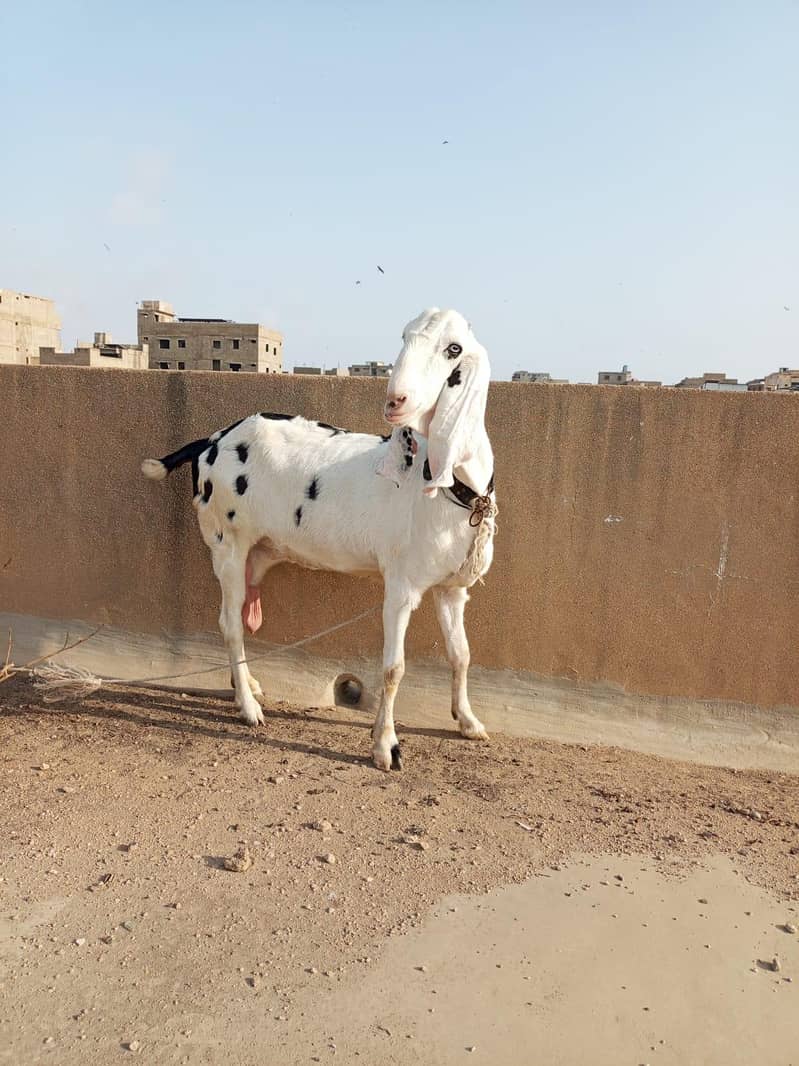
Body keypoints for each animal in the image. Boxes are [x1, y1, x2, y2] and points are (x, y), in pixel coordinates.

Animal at [141, 308, 496, 770]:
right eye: (403, 338)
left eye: (454, 348)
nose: (395, 402)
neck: (454, 488)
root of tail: (211, 441)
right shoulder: (401, 587)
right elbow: (393, 668)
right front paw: (386, 746)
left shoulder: (451, 590)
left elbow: (461, 654)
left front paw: (467, 721)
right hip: (227, 544)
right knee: (230, 623)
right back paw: (249, 708)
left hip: (257, 552)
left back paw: (246, 684)